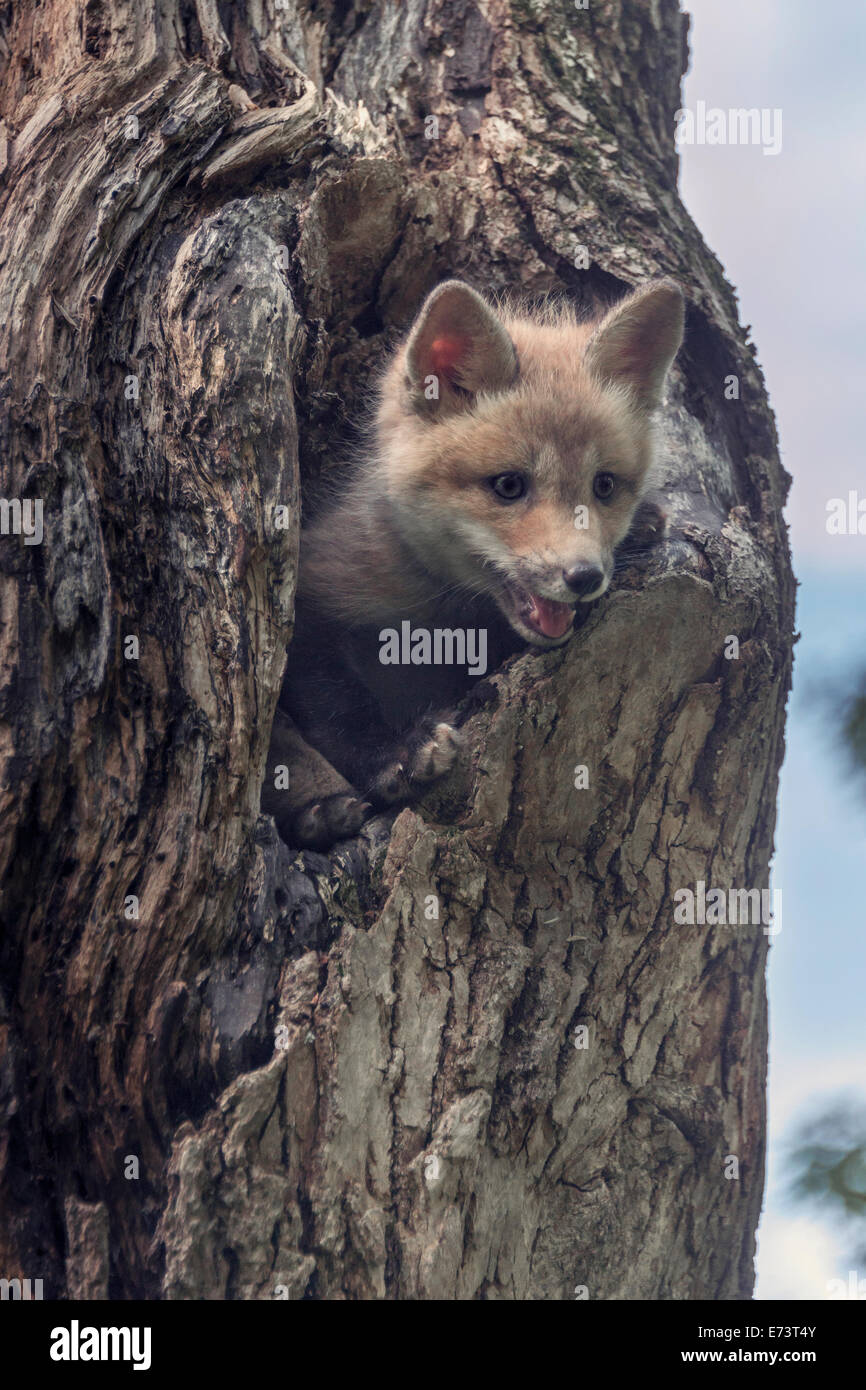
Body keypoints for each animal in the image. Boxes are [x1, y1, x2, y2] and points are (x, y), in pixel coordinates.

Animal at [262, 277, 685, 849]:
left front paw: (643, 522)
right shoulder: (312, 597)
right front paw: (394, 756)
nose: (585, 577)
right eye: (508, 485)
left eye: (604, 486)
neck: (445, 615)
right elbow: (337, 707)